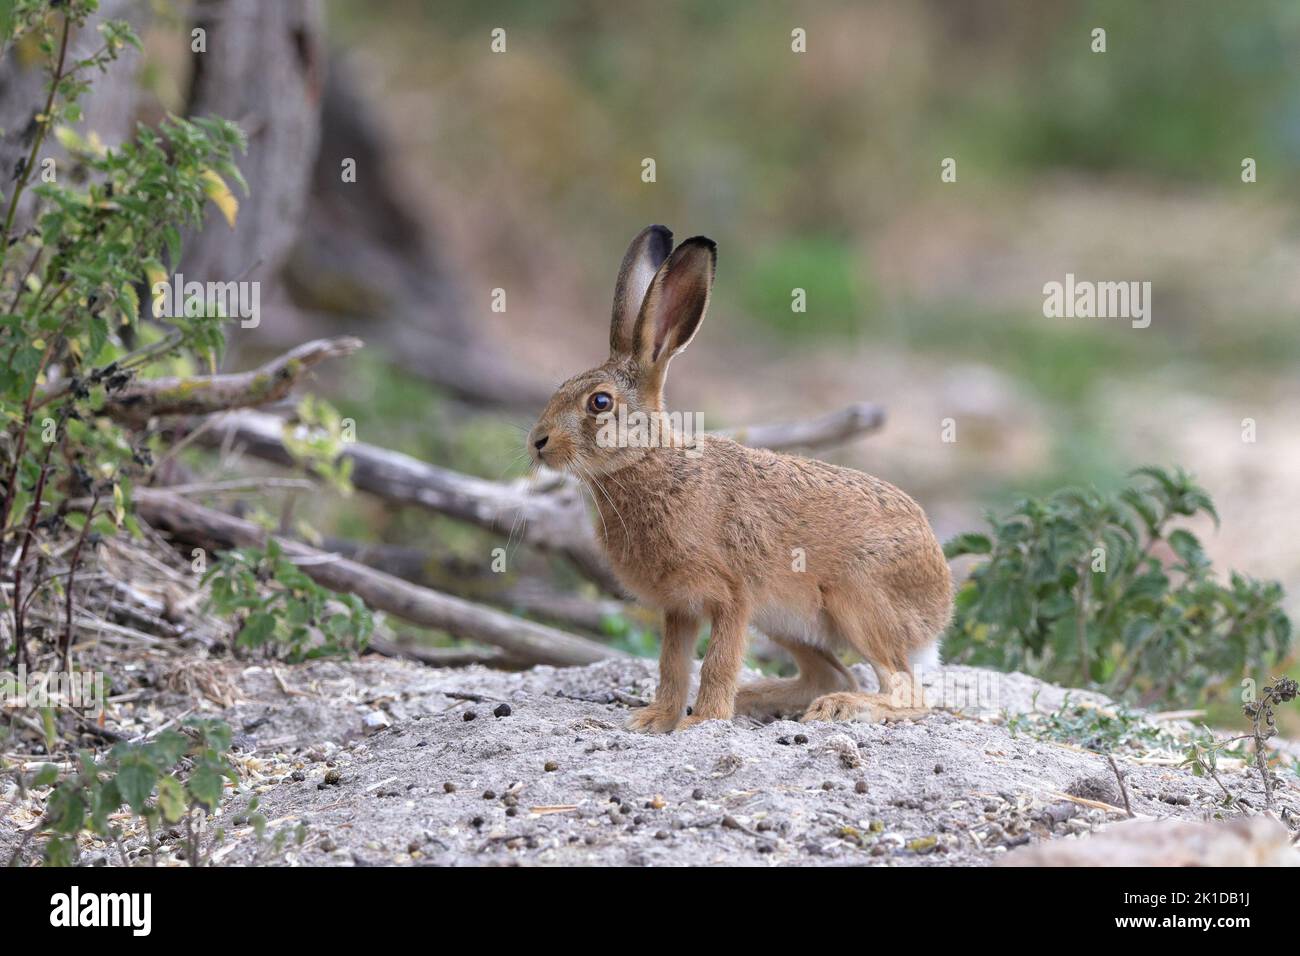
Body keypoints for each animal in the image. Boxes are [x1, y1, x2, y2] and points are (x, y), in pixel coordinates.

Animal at [526, 225, 952, 731]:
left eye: (600, 402)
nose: (537, 441)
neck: (652, 463)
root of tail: (940, 604)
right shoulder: (681, 607)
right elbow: (672, 665)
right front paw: (656, 719)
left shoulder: (733, 596)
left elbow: (717, 661)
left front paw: (701, 722)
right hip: (786, 620)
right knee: (831, 674)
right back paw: (761, 700)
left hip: (856, 602)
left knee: (907, 690)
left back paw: (842, 708)